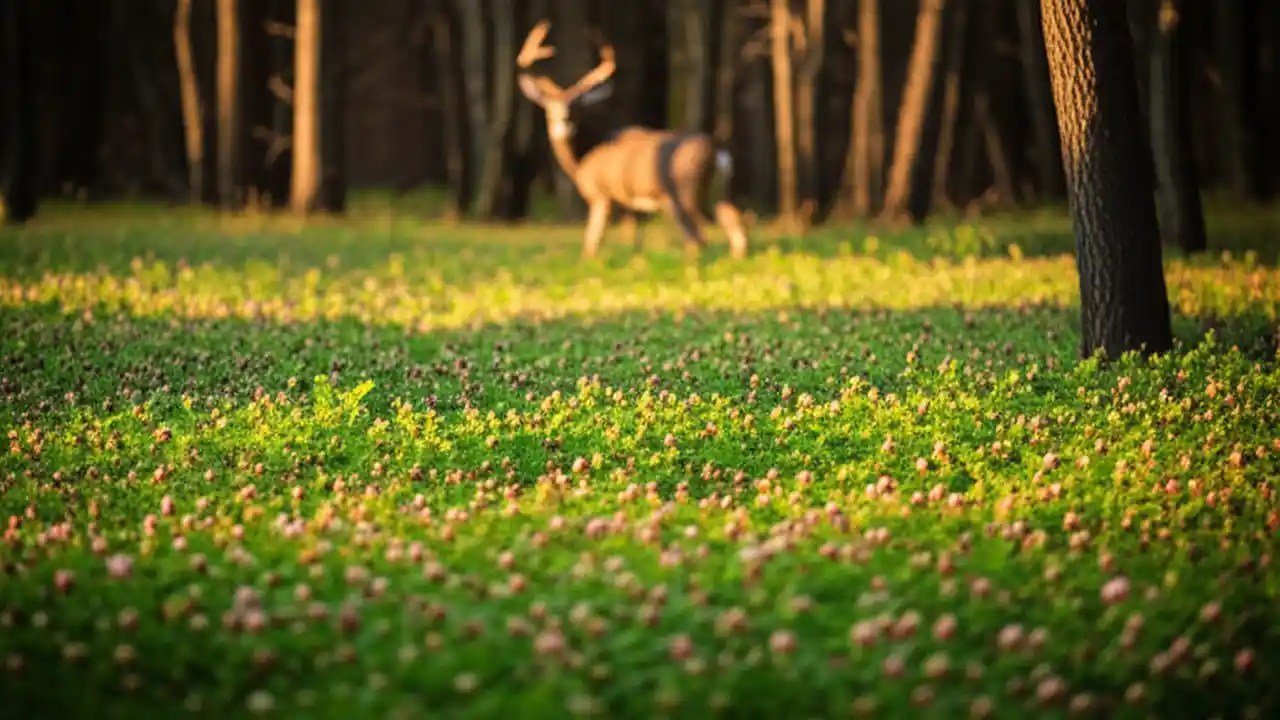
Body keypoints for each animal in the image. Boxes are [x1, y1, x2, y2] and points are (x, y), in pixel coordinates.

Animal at [515, 21, 750, 260]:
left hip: (683, 191)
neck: (583, 159)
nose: (563, 120)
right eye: (548, 108)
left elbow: (592, 242)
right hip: (720, 194)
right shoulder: (629, 204)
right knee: (736, 232)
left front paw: (590, 262)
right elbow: (633, 241)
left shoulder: (601, 194)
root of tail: (717, 149)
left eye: (577, 106)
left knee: (698, 236)